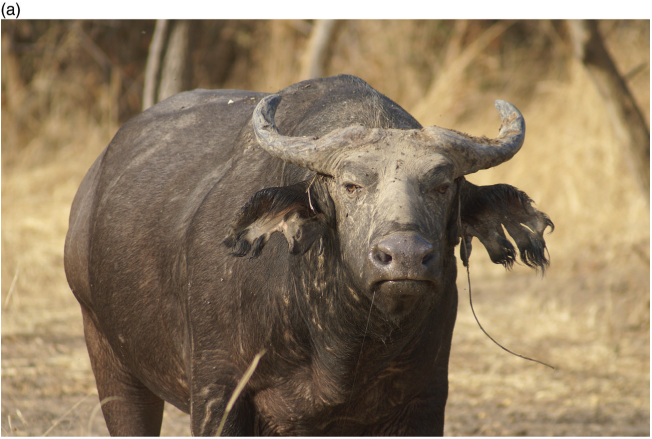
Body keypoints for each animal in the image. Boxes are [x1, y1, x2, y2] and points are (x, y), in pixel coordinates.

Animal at [64, 74, 552, 435]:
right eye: (351, 185)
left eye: (442, 185)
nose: (405, 256)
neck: (341, 339)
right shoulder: (219, 393)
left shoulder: (424, 400)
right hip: (108, 355)